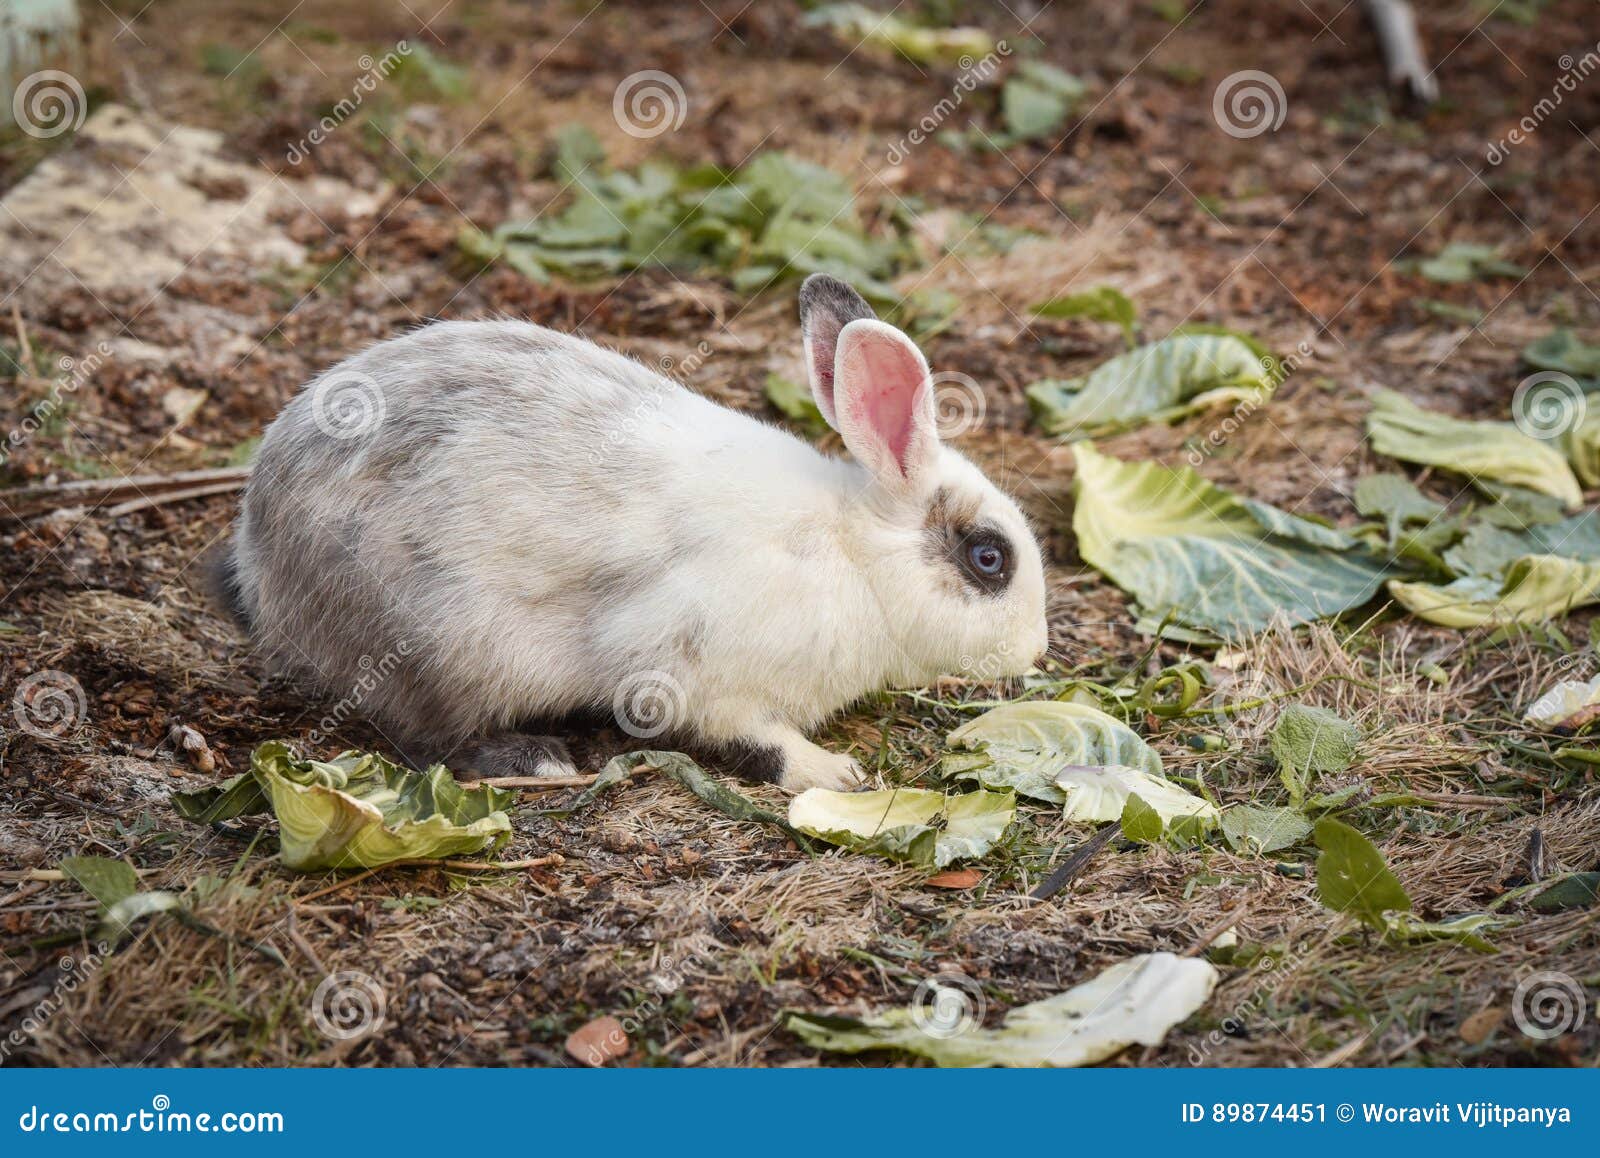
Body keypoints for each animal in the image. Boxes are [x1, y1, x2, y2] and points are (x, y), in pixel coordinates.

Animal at [215, 273, 1049, 790]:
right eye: (989, 558)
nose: (1036, 650)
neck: (855, 557)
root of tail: (263, 555)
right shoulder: (688, 669)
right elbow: (753, 738)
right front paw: (830, 774)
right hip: (441, 647)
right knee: (422, 735)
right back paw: (536, 758)